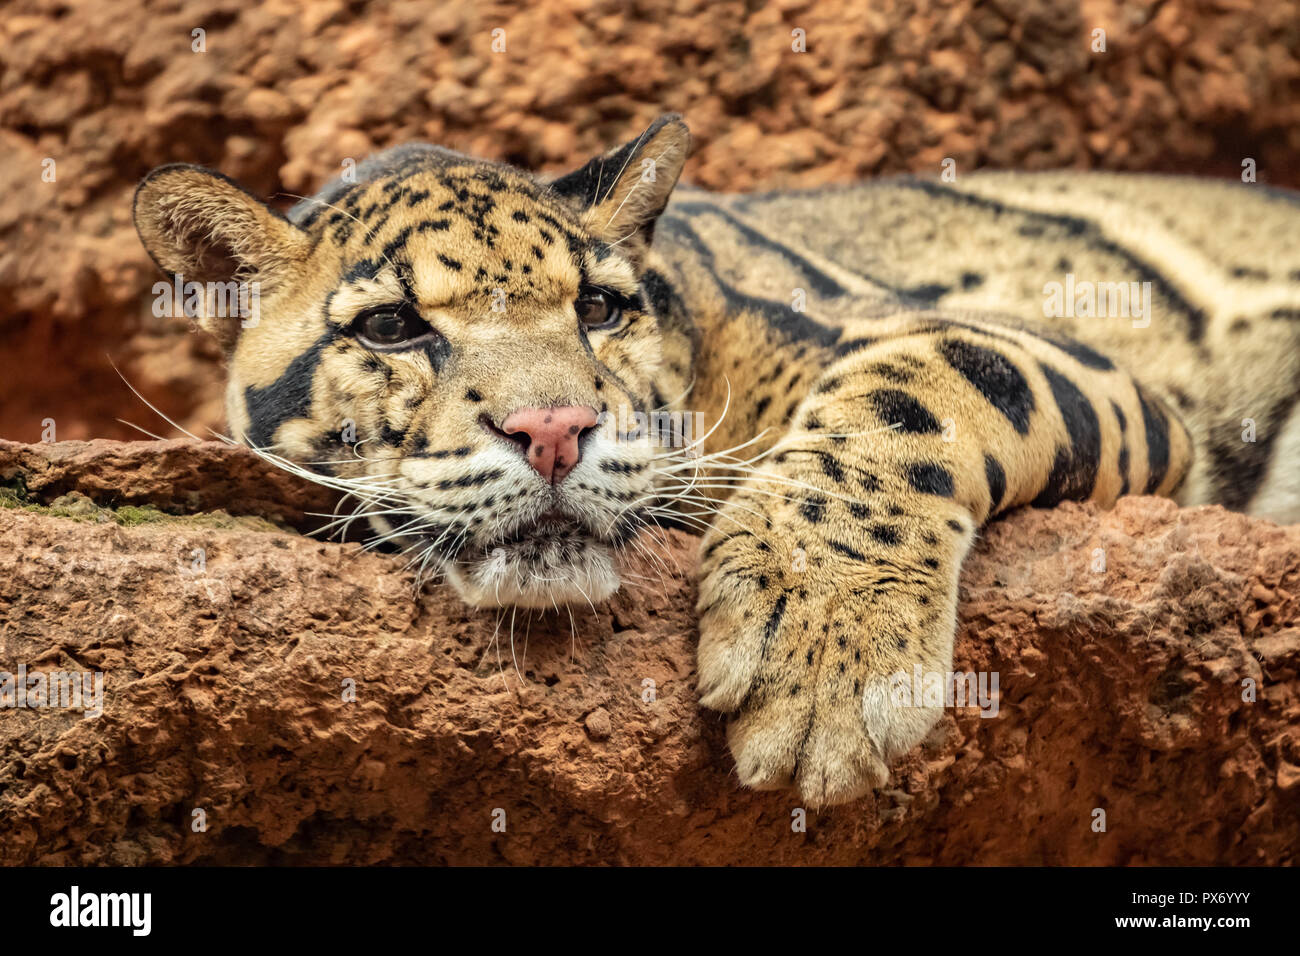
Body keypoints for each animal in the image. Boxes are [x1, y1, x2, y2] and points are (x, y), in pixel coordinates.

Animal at [133, 114, 1300, 806]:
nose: (554, 428)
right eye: (389, 327)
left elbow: (924, 379)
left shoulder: (1071, 358)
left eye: (600, 308)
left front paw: (827, 651)